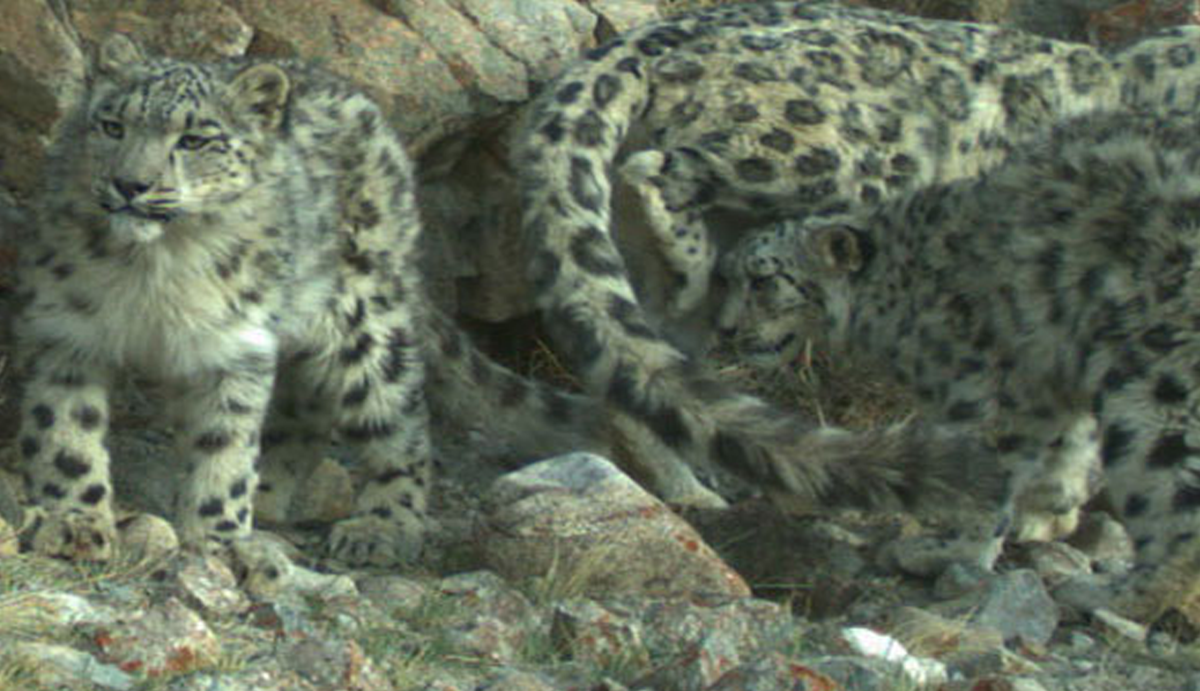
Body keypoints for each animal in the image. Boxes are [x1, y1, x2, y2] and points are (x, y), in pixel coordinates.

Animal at [12, 34, 607, 568]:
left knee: (399, 416)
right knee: (305, 410)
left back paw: (382, 526)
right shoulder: (68, 333)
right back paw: (273, 498)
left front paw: (219, 542)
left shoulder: (235, 347)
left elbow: (225, 444)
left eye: (195, 140)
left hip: (363, 318)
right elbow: (67, 434)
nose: (130, 184)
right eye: (112, 125)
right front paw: (73, 523)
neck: (156, 267)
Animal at [513, 0, 1123, 509]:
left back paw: (691, 485)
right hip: (835, 157)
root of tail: (662, 30)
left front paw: (1056, 496)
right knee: (659, 172)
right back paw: (692, 267)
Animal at [718, 109, 1200, 625]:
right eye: (730, 275)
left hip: (1152, 389)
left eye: (763, 279)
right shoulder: (1051, 378)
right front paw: (1047, 514)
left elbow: (987, 475)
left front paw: (950, 551)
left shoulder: (981, 391)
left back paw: (1114, 596)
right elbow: (1069, 448)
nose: (725, 329)